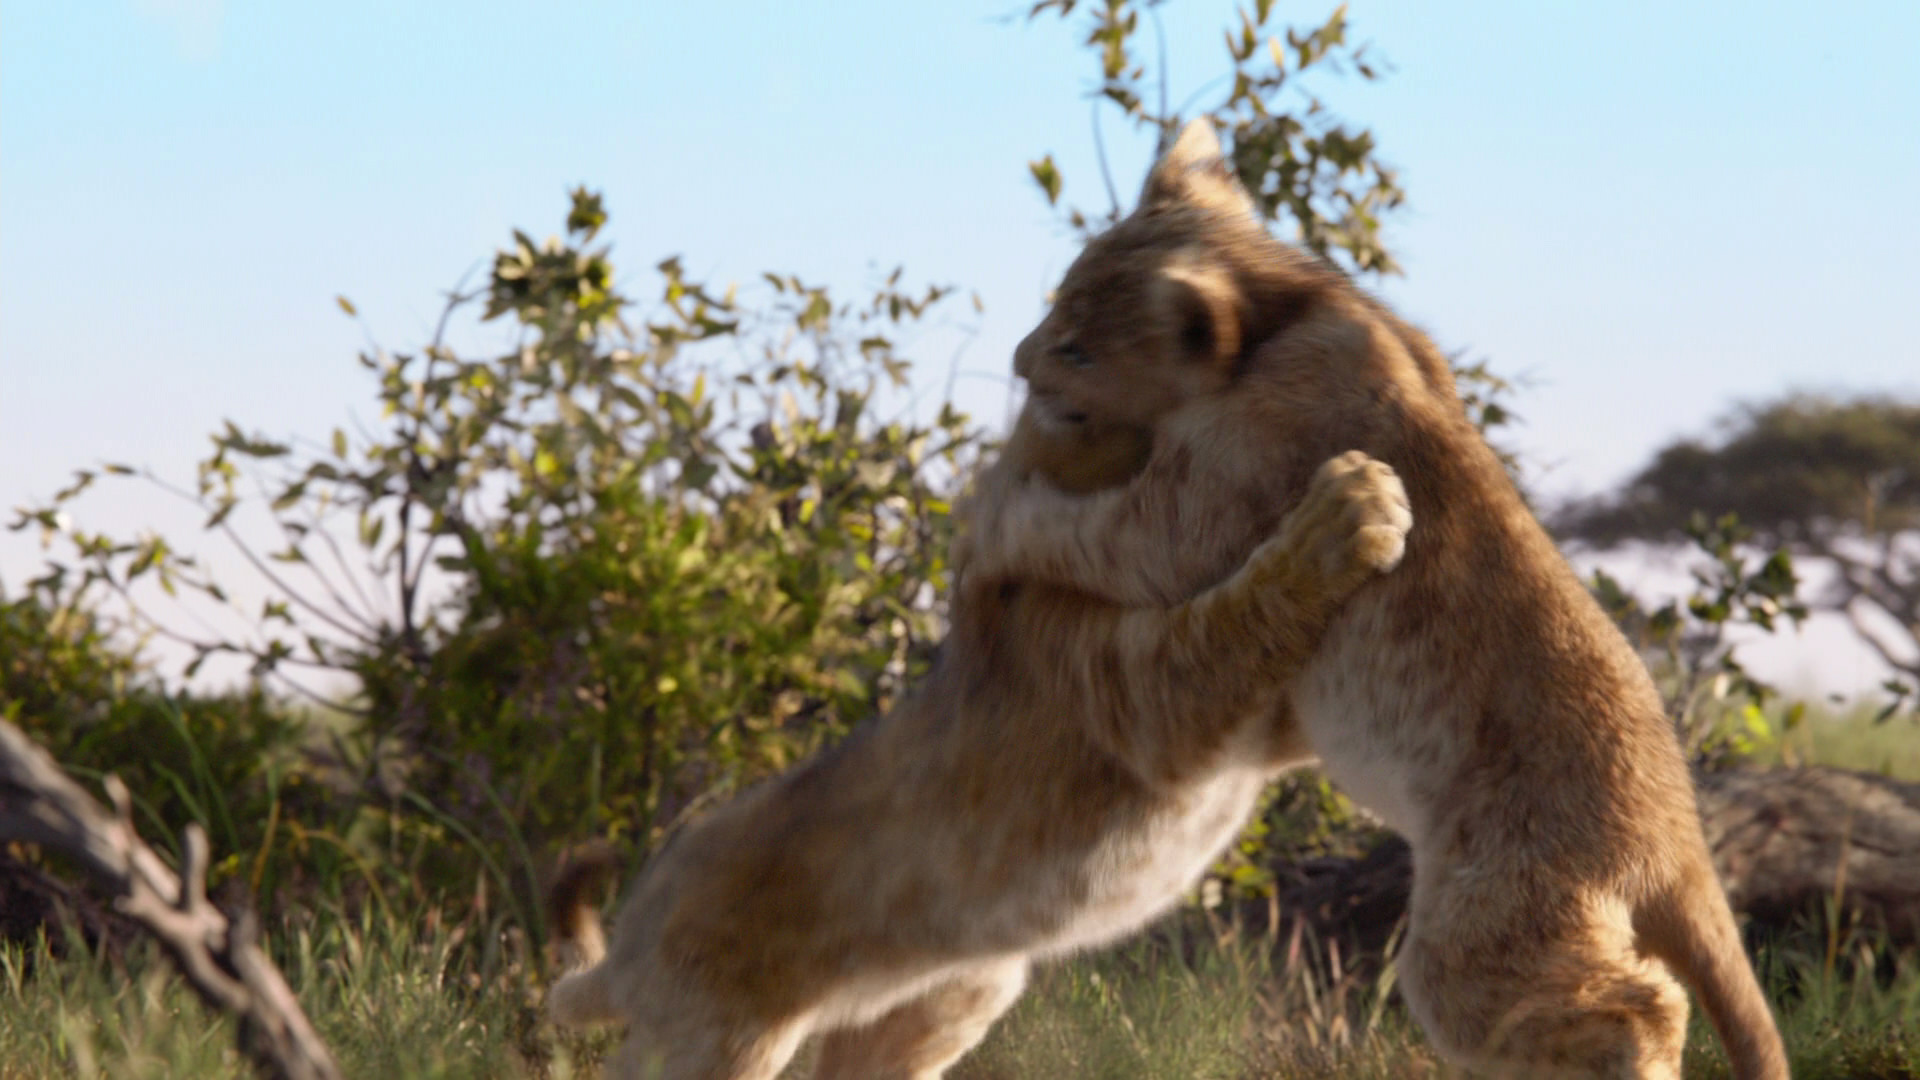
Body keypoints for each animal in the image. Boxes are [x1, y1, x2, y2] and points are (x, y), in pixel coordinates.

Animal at [543, 442, 1412, 1079]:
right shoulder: (1145, 700)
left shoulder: (1264, 726)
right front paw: (1352, 508)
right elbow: (1241, 617)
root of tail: (631, 931)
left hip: (944, 999)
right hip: (719, 1037)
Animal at [961, 119, 1789, 1079]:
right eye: (1055, 305)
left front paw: (988, 517)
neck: (1288, 306)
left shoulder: (1198, 508)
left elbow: (1080, 531)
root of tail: (1681, 848)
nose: (1020, 360)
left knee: (1642, 1003)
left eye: (1076, 348)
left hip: (1480, 933)